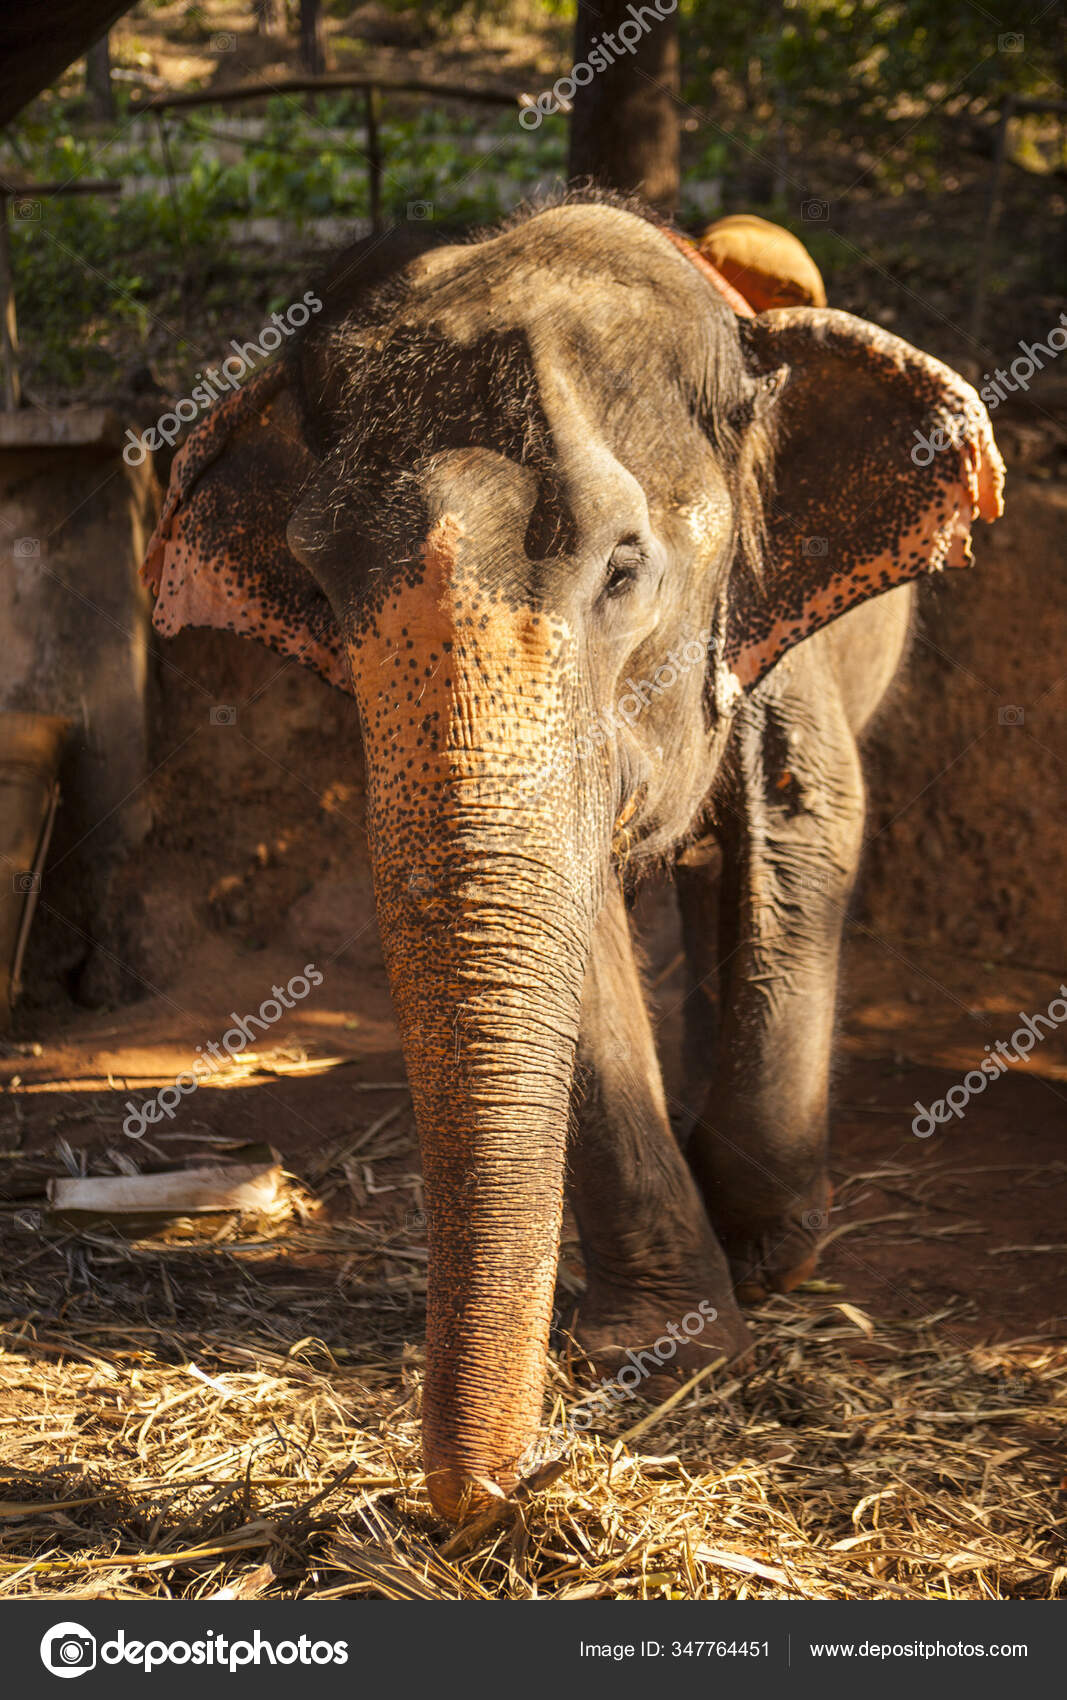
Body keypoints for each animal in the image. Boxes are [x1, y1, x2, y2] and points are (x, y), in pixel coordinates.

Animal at [141, 196, 1003, 1521]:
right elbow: (572, 920)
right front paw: (660, 1346)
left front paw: (765, 1250)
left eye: (624, 567)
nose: (481, 1496)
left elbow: (804, 823)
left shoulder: (774, 626)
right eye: (321, 583)